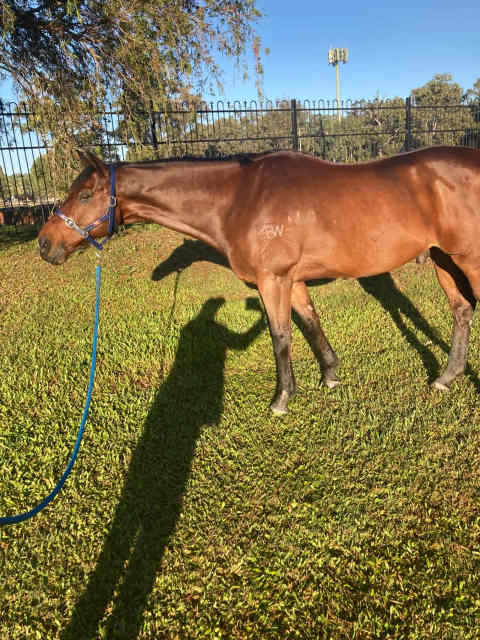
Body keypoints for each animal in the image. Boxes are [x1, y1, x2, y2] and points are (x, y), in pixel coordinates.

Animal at [38, 146, 480, 414]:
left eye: (84, 194)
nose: (45, 244)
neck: (239, 199)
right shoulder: (293, 280)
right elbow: (311, 323)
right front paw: (330, 376)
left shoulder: (273, 280)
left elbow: (280, 336)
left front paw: (282, 399)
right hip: (443, 258)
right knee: (461, 311)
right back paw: (446, 378)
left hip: (469, 260)